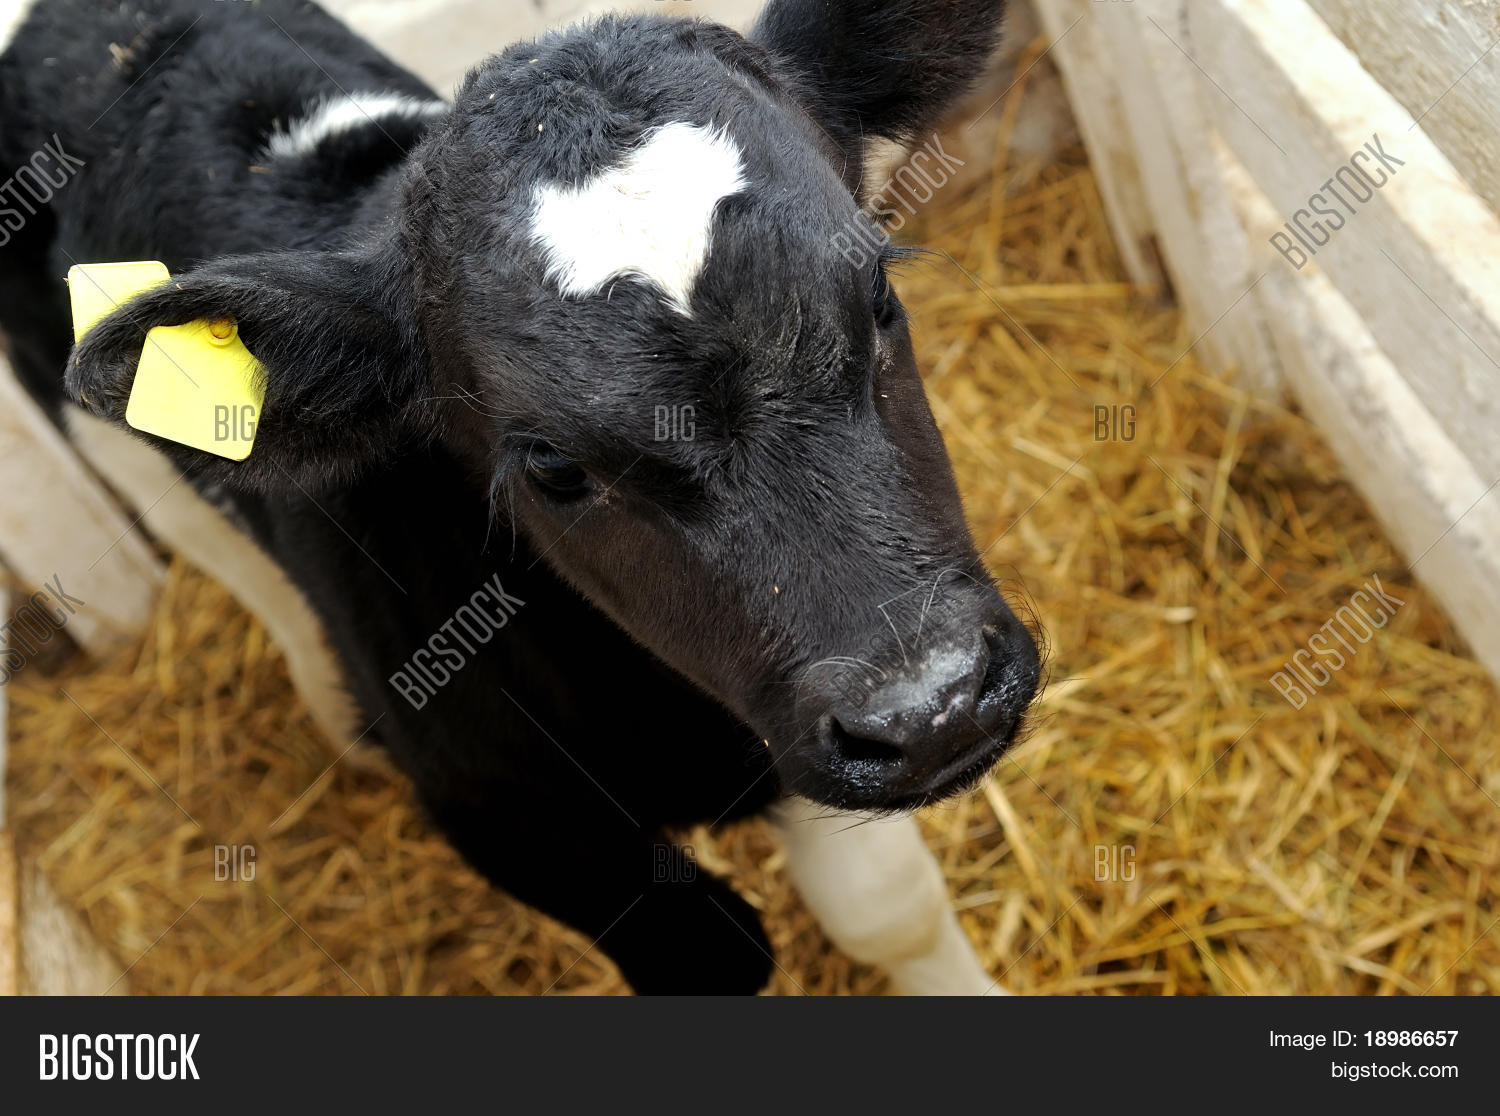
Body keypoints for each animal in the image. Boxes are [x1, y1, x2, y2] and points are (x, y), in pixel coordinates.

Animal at [0, 0, 1041, 993]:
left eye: (878, 300)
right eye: (551, 466)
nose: (934, 704)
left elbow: (890, 909)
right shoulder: (508, 816)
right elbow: (719, 955)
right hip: (106, 431)